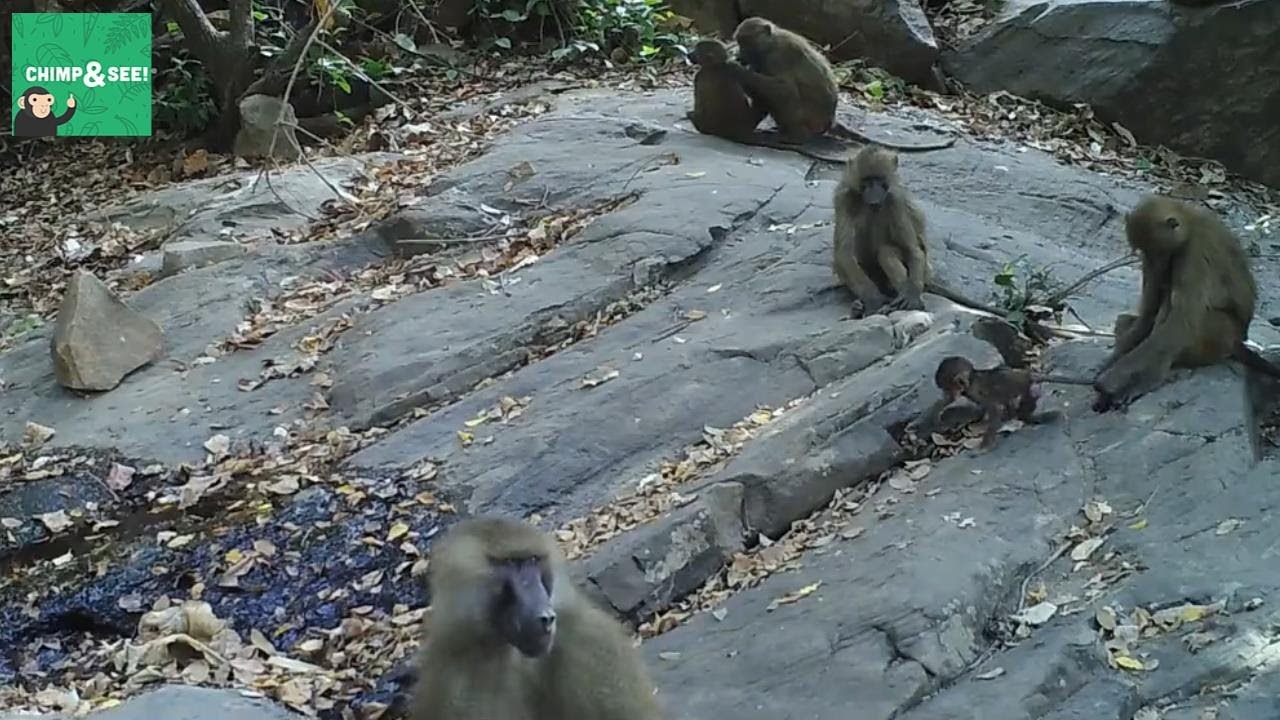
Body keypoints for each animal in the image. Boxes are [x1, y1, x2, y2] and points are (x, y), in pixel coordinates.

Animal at [914, 355, 1093, 449]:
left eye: (946, 388)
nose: (945, 393)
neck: (971, 380)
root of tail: (1028, 374)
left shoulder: (977, 392)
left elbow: (994, 410)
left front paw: (984, 446)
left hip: (1029, 388)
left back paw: (1027, 417)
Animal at [1092, 194, 1280, 411]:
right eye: (1144, 252)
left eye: (1159, 251)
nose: (1156, 264)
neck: (1189, 224)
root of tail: (1237, 341)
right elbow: (1149, 310)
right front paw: (1112, 363)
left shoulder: (1194, 253)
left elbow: (1181, 322)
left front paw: (1111, 380)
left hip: (1219, 336)